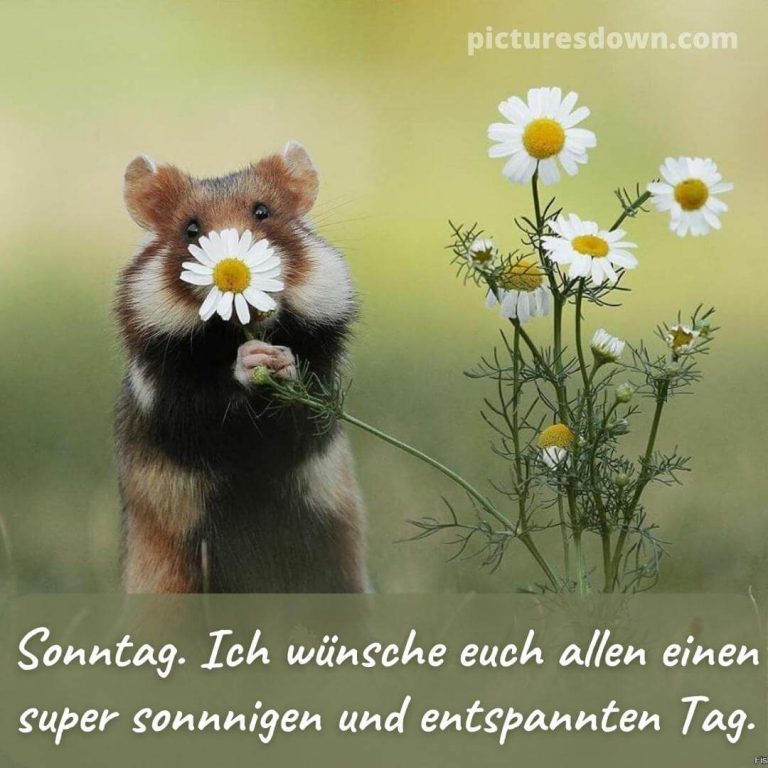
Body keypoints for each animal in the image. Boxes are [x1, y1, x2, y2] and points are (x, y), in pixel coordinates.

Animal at [115, 142, 368, 593]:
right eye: (191, 229)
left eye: (263, 211)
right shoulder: (168, 400)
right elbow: (204, 409)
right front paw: (252, 361)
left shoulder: (322, 392)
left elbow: (302, 417)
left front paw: (281, 361)